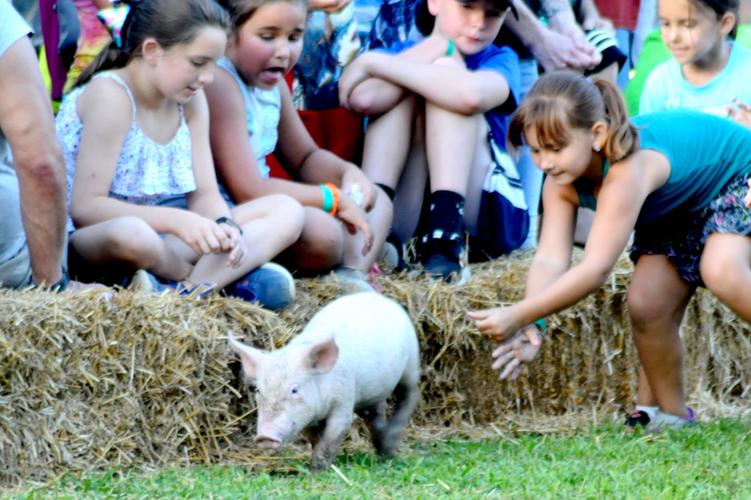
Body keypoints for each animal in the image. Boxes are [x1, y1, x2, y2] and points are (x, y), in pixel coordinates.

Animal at [228, 292, 420, 472]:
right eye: (258, 391)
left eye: (295, 390)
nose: (265, 437)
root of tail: (378, 296)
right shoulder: (306, 416)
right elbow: (314, 438)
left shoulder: (344, 397)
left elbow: (334, 434)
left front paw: (317, 471)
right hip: (375, 391)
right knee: (376, 413)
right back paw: (383, 451)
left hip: (411, 364)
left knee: (409, 395)